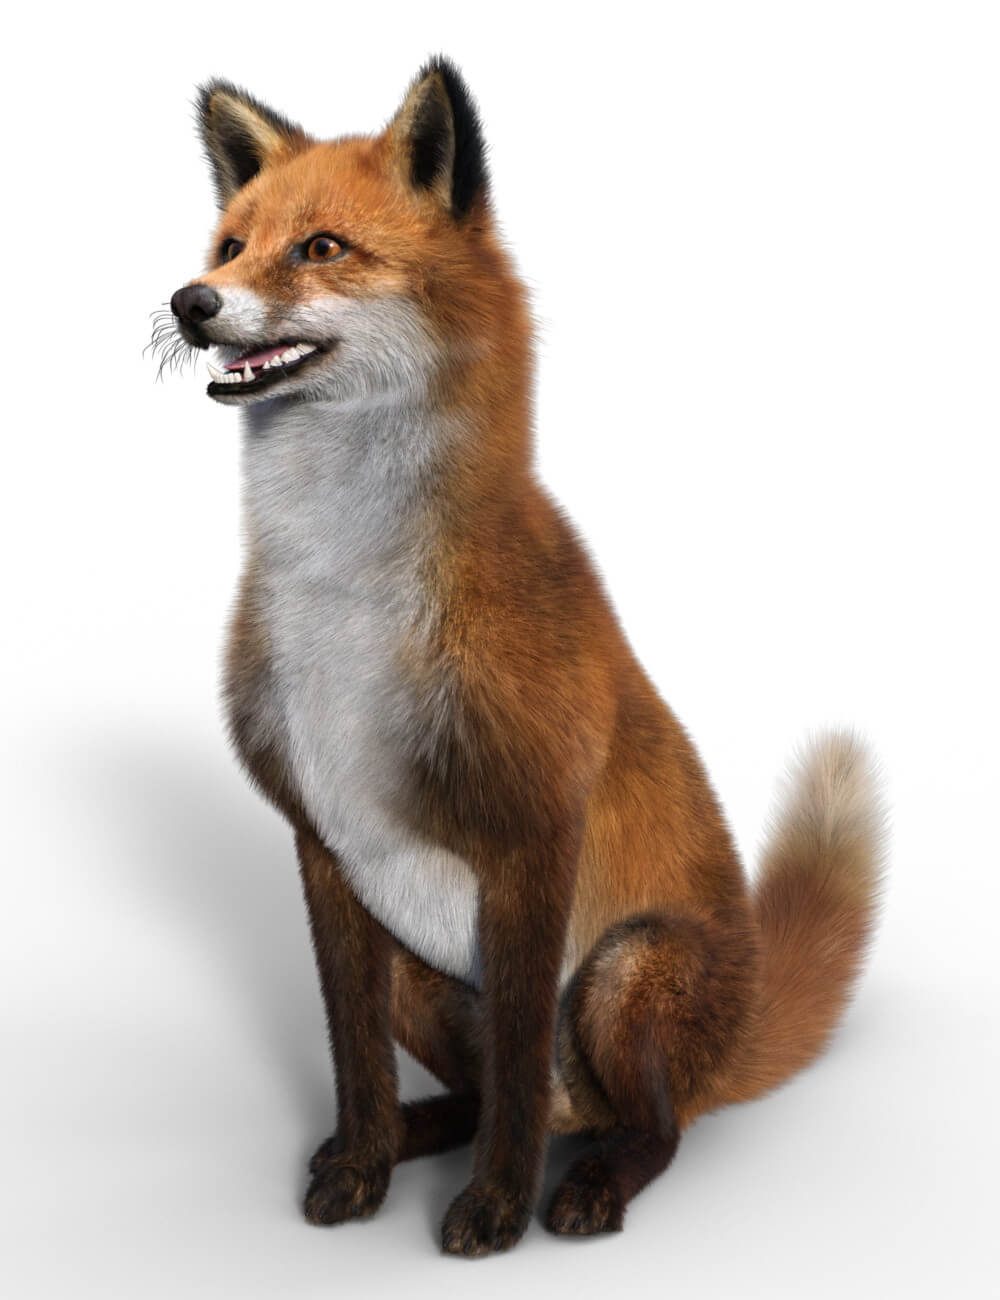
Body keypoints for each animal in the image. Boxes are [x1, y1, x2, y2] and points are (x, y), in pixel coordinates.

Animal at [162, 57, 887, 1257]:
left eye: (321, 248)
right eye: (228, 245)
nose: (188, 302)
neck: (343, 597)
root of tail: (739, 1031)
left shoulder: (534, 836)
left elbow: (509, 1068)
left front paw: (495, 1212)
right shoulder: (323, 846)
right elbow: (353, 1057)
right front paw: (359, 1165)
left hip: (618, 975)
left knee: (635, 1124)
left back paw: (590, 1183)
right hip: (423, 974)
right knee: (498, 1096)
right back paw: (413, 1136)